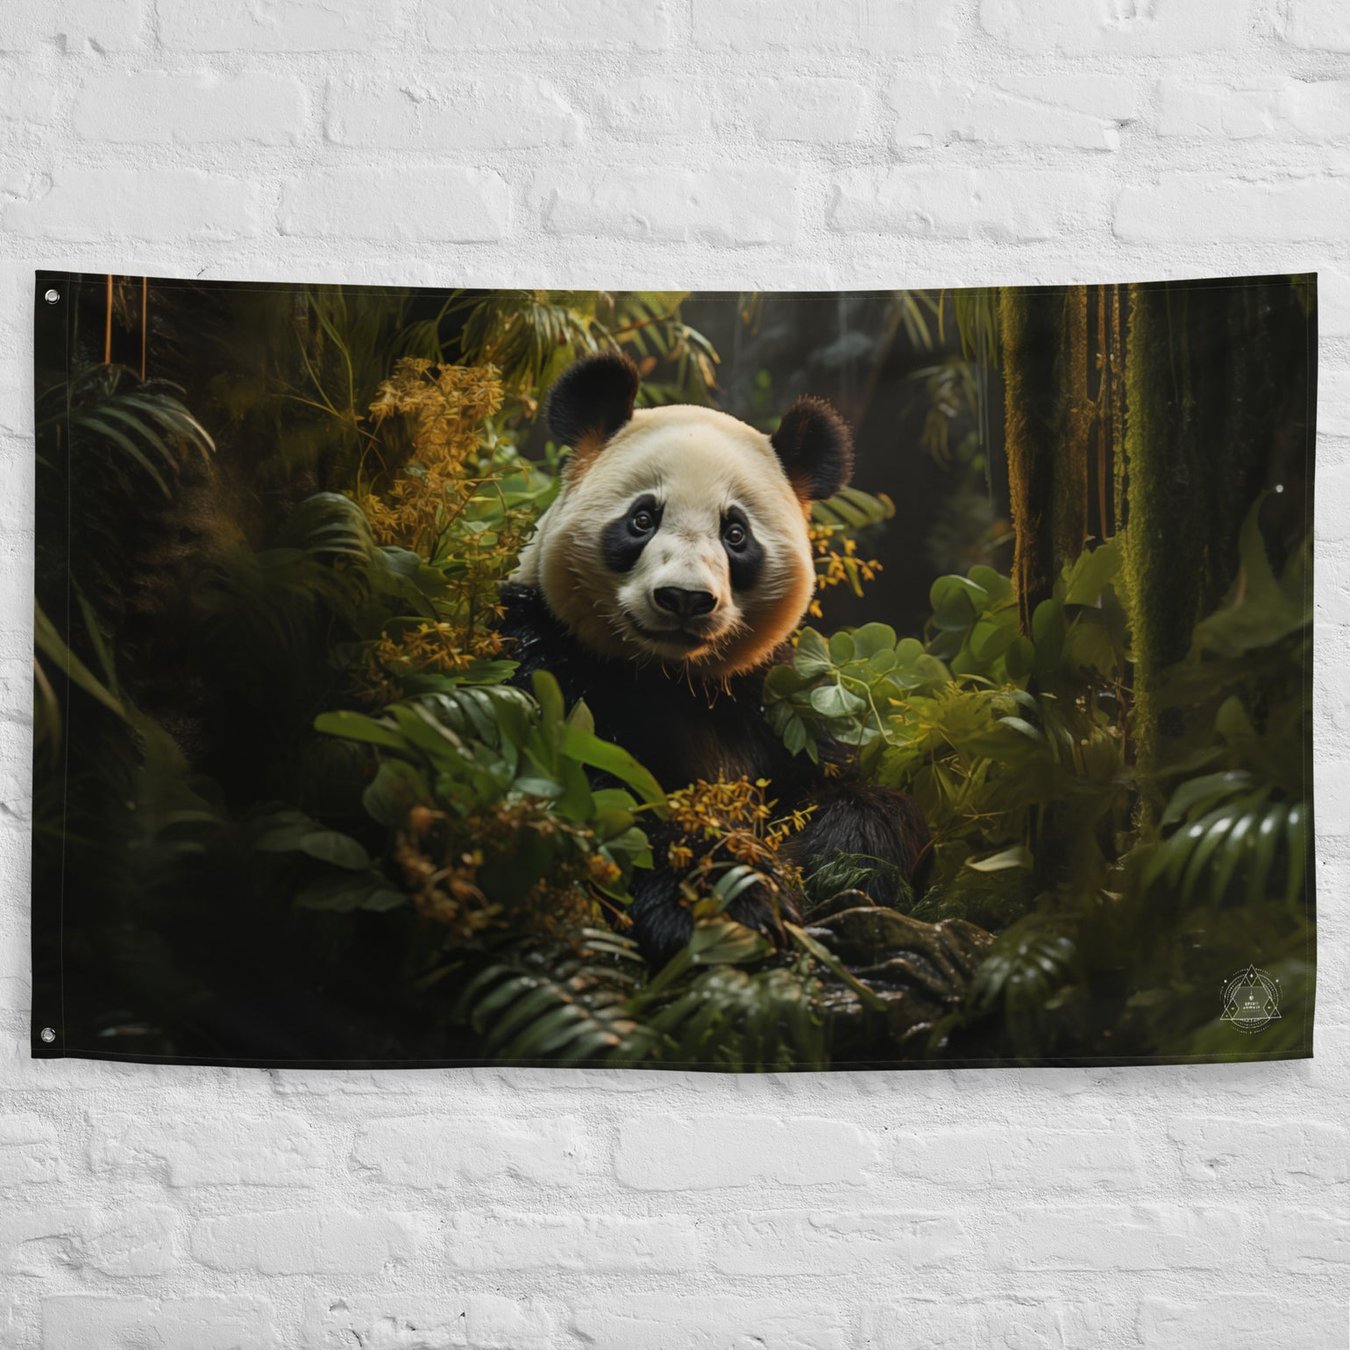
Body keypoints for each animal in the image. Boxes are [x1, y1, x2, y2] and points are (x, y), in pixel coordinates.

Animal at [499, 352, 931, 967]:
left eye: (735, 533)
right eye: (642, 519)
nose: (684, 598)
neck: (668, 673)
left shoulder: (773, 701)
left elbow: (858, 797)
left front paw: (831, 865)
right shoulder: (545, 652)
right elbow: (600, 792)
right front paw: (732, 901)